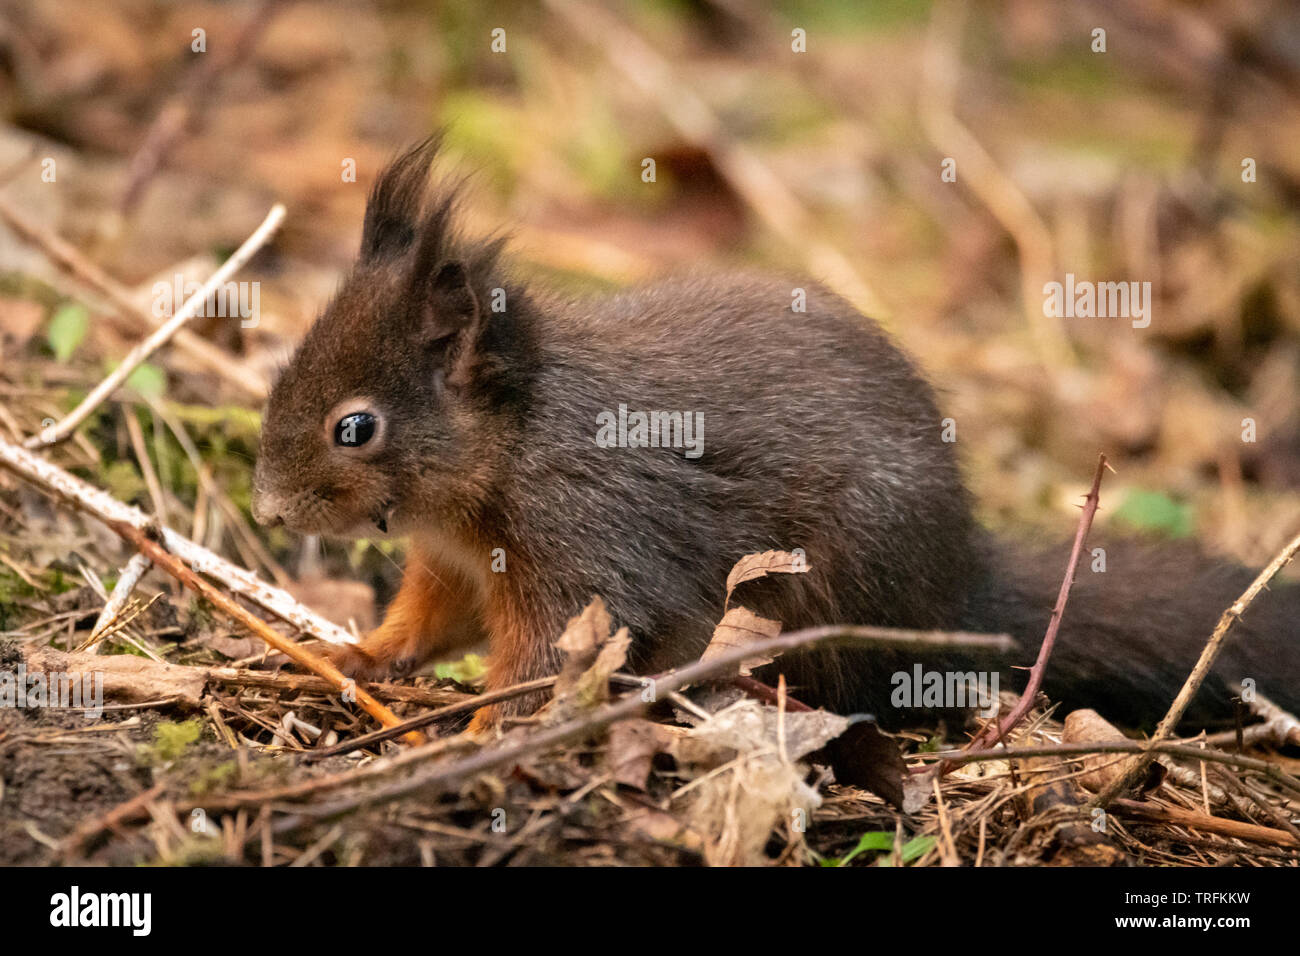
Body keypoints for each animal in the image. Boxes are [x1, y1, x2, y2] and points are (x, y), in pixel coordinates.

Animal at [251, 139, 1300, 733]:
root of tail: (963, 587)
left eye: (356, 427)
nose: (266, 508)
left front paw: (471, 737)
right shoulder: (456, 566)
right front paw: (356, 655)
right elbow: (426, 623)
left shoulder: (587, 542)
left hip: (834, 598)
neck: (503, 451)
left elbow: (547, 663)